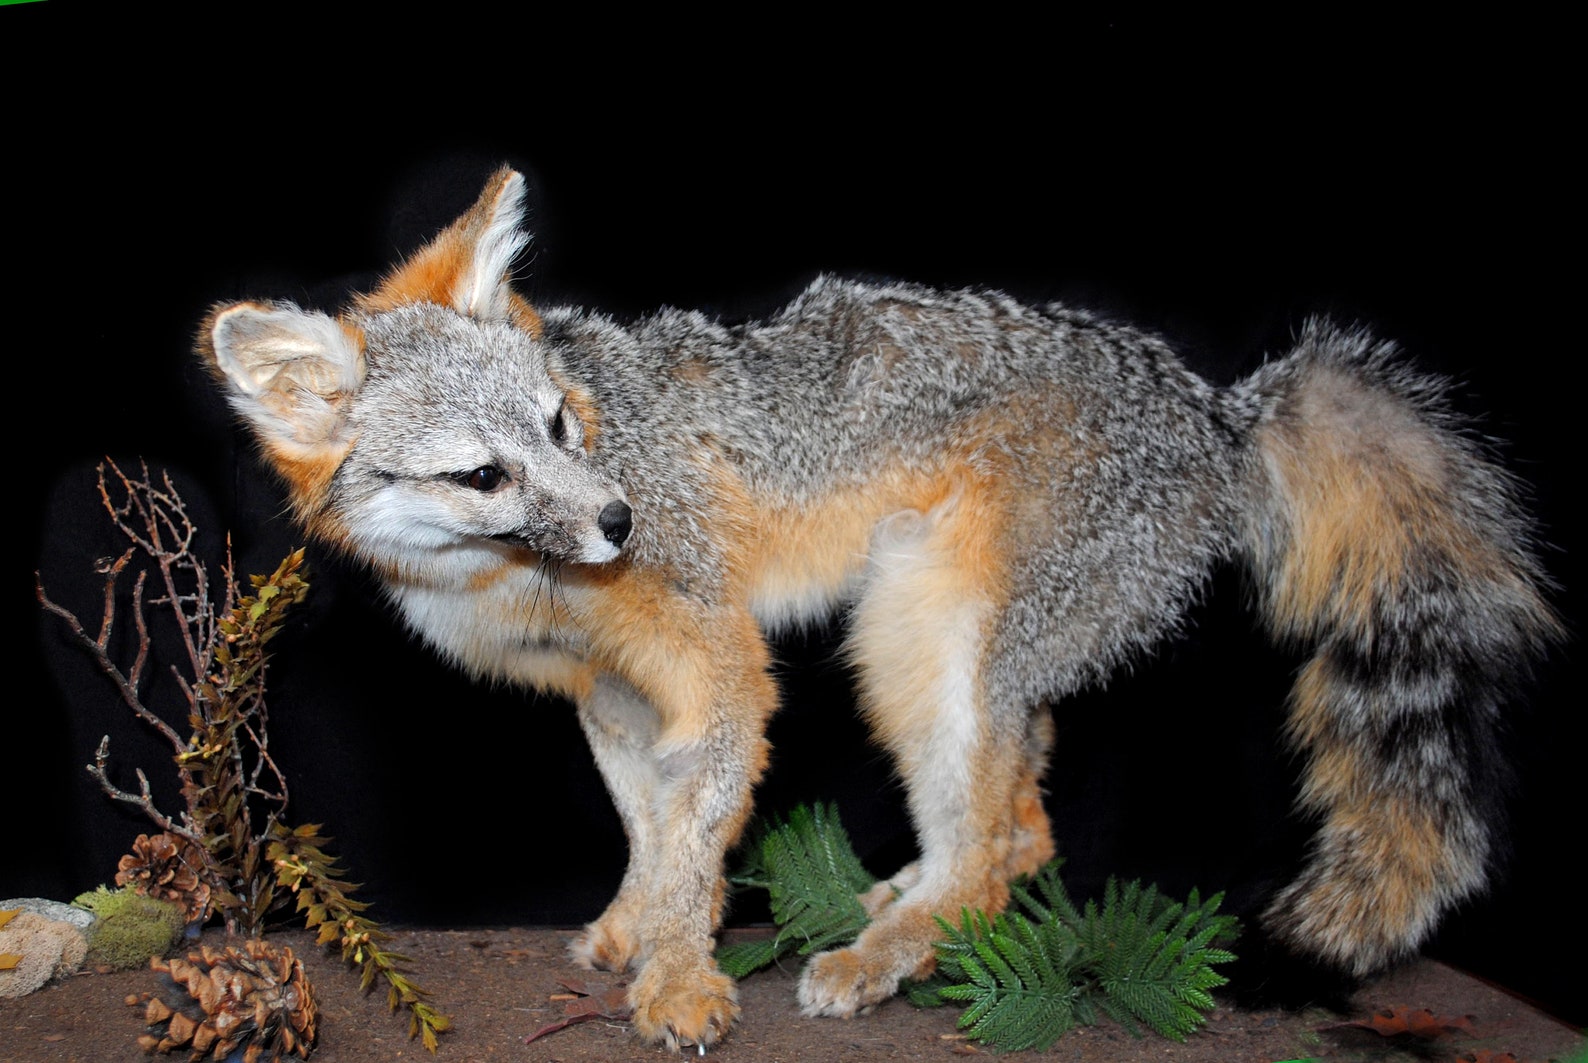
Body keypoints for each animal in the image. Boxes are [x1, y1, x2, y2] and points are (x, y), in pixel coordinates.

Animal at [200, 167, 1558, 1049]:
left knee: (992, 859)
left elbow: (697, 829)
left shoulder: (719, 664)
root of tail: (1216, 410)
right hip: (957, 660)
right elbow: (648, 826)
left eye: (561, 425)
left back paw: (882, 953)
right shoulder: (611, 691)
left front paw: (682, 978)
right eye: (485, 474)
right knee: (1018, 836)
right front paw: (640, 927)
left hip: (919, 642)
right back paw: (899, 902)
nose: (621, 522)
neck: (510, 581)